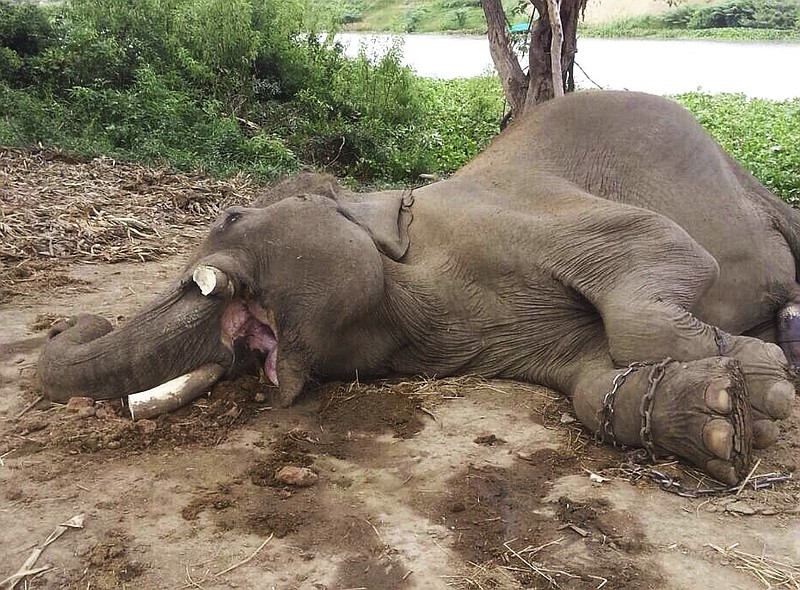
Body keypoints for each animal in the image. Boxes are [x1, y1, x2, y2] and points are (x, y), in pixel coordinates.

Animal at [38, 90, 799, 486]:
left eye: (229, 218)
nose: (79, 320)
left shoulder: (514, 213)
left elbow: (661, 250)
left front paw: (765, 370)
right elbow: (589, 384)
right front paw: (736, 410)